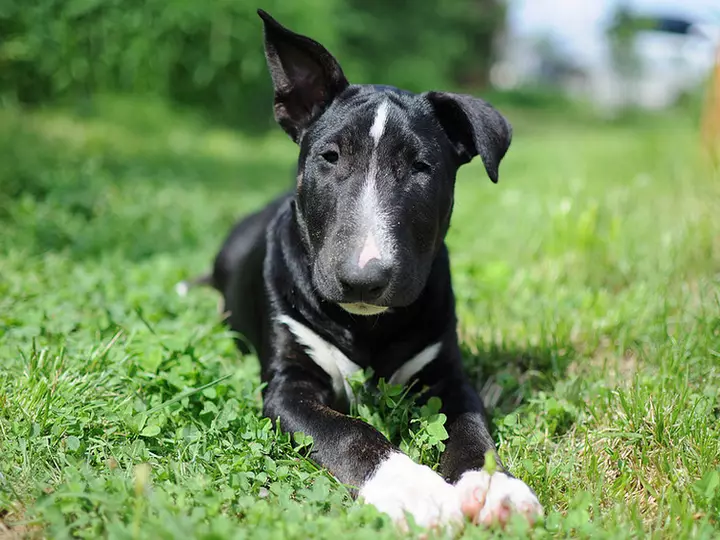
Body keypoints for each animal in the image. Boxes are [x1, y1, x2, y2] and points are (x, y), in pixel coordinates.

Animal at [177, 8, 544, 532]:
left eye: (421, 167)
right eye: (330, 157)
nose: (363, 279)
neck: (367, 325)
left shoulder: (448, 376)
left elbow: (471, 429)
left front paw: (496, 489)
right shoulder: (288, 387)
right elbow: (350, 431)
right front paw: (415, 491)